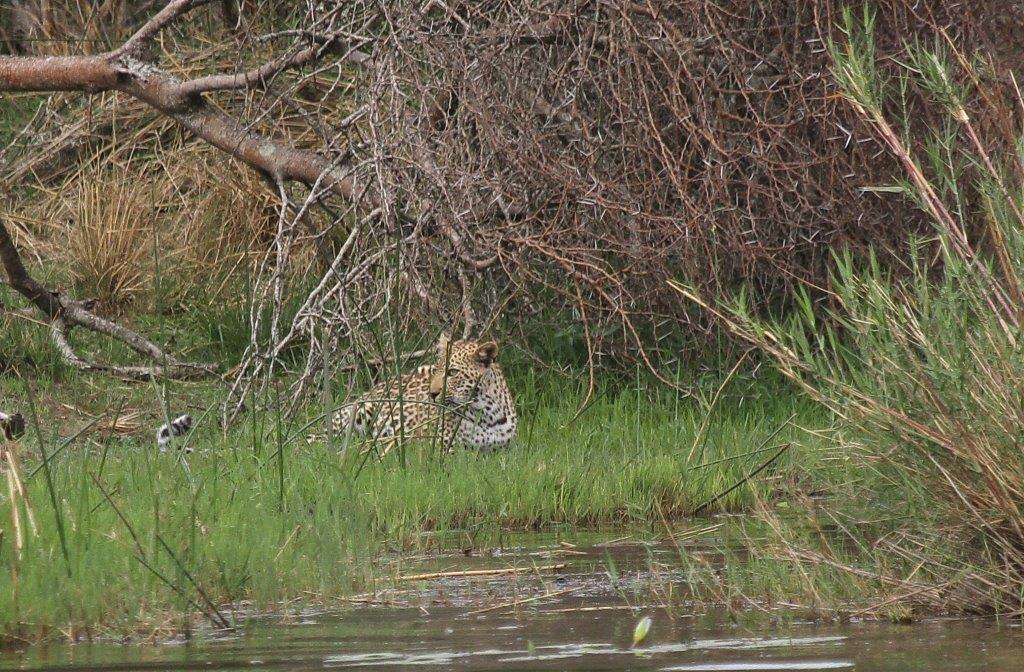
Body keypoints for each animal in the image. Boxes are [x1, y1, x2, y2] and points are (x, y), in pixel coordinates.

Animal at [329, 334, 517, 452]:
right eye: (436, 370)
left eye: (452, 372)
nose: (432, 393)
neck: (486, 414)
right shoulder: (443, 448)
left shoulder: (507, 451)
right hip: (360, 411)